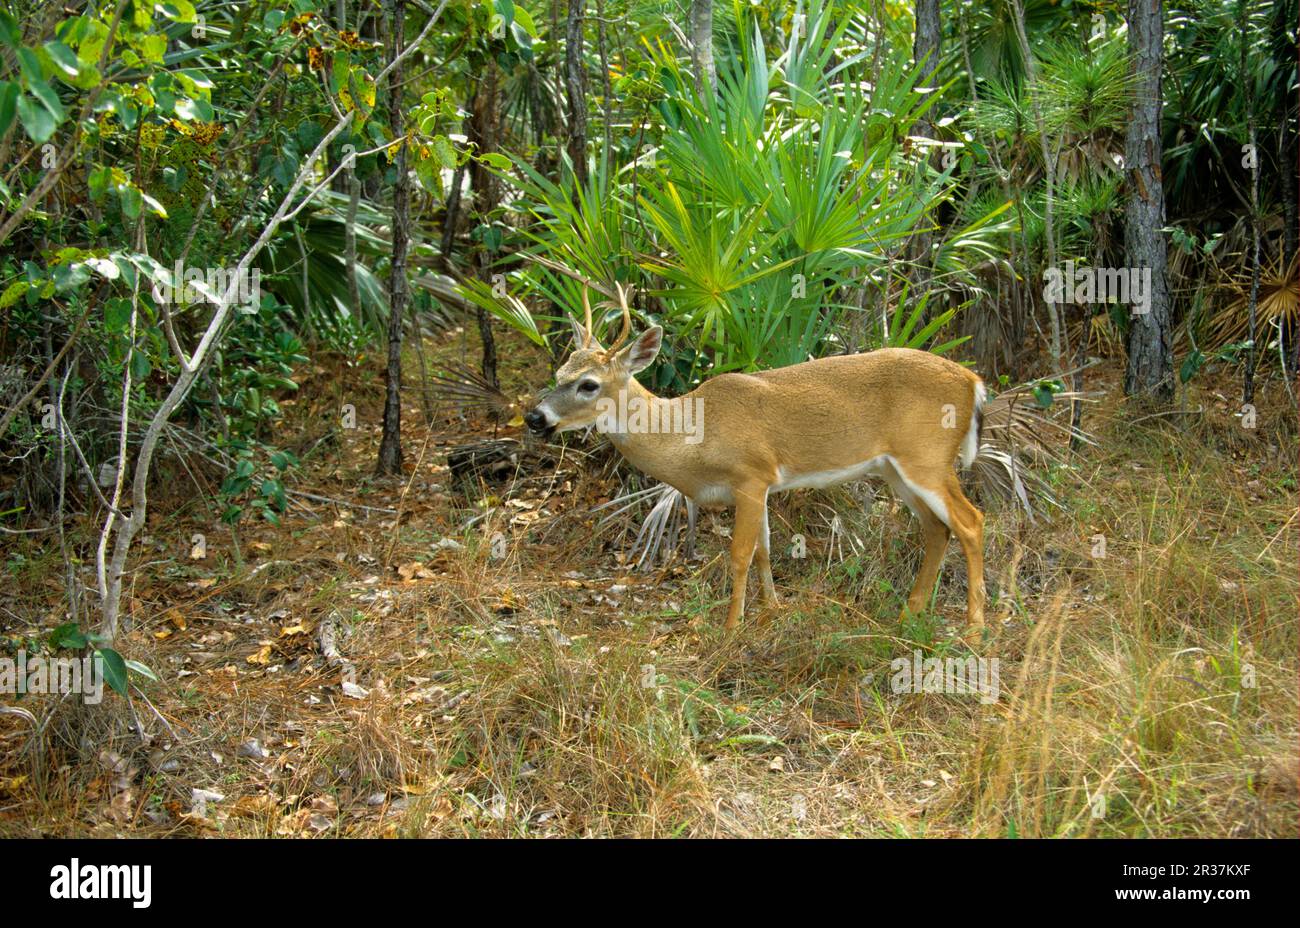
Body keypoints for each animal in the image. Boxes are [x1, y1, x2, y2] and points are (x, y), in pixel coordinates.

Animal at [523, 284, 988, 635]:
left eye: (589, 384)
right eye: (560, 372)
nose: (534, 417)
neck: (689, 434)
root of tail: (974, 381)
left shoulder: (749, 474)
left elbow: (740, 553)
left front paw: (731, 630)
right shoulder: (763, 484)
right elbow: (765, 548)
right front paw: (772, 610)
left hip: (927, 458)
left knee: (971, 521)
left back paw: (974, 629)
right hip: (895, 469)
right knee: (937, 529)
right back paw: (909, 614)